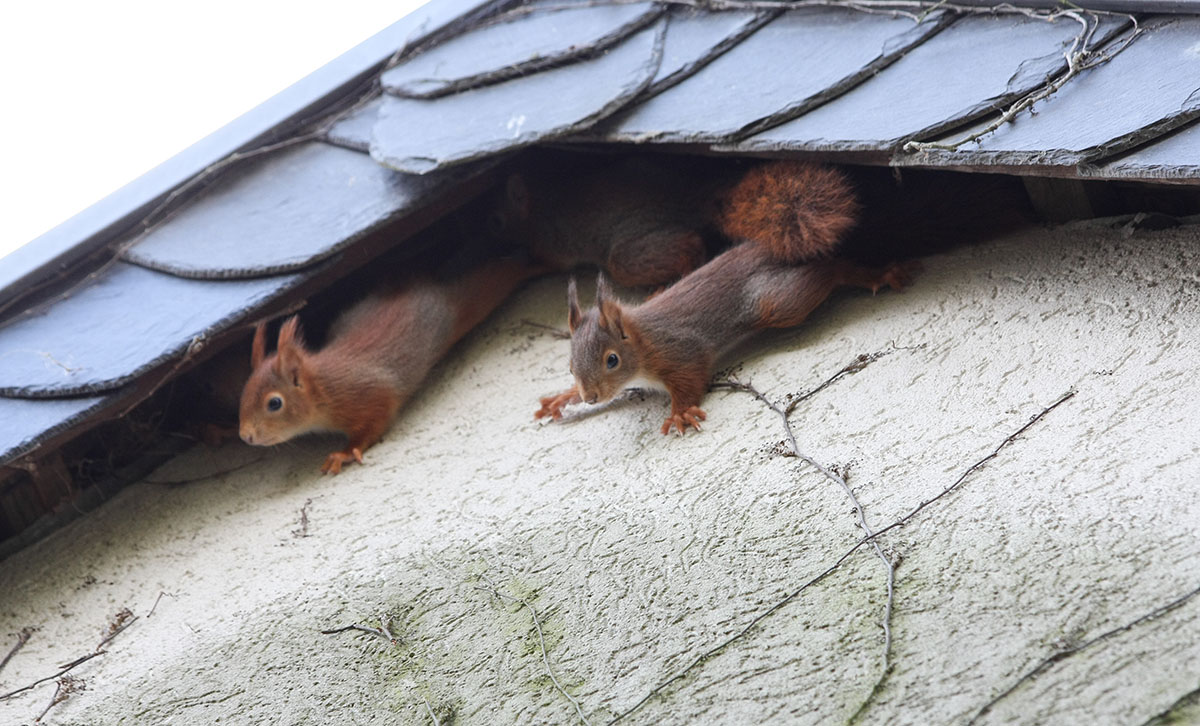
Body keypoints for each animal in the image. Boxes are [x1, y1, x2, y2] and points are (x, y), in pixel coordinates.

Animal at [239, 255, 539, 473]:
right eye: (242, 396)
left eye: (274, 403)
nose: (245, 436)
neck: (324, 389)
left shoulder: (368, 395)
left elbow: (376, 421)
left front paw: (344, 453)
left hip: (472, 303)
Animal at [534, 160, 915, 435]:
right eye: (570, 366)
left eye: (612, 360)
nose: (590, 397)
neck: (642, 348)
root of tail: (761, 247)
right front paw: (561, 398)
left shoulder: (680, 352)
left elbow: (690, 380)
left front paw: (679, 412)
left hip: (779, 301)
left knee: (829, 268)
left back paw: (871, 274)